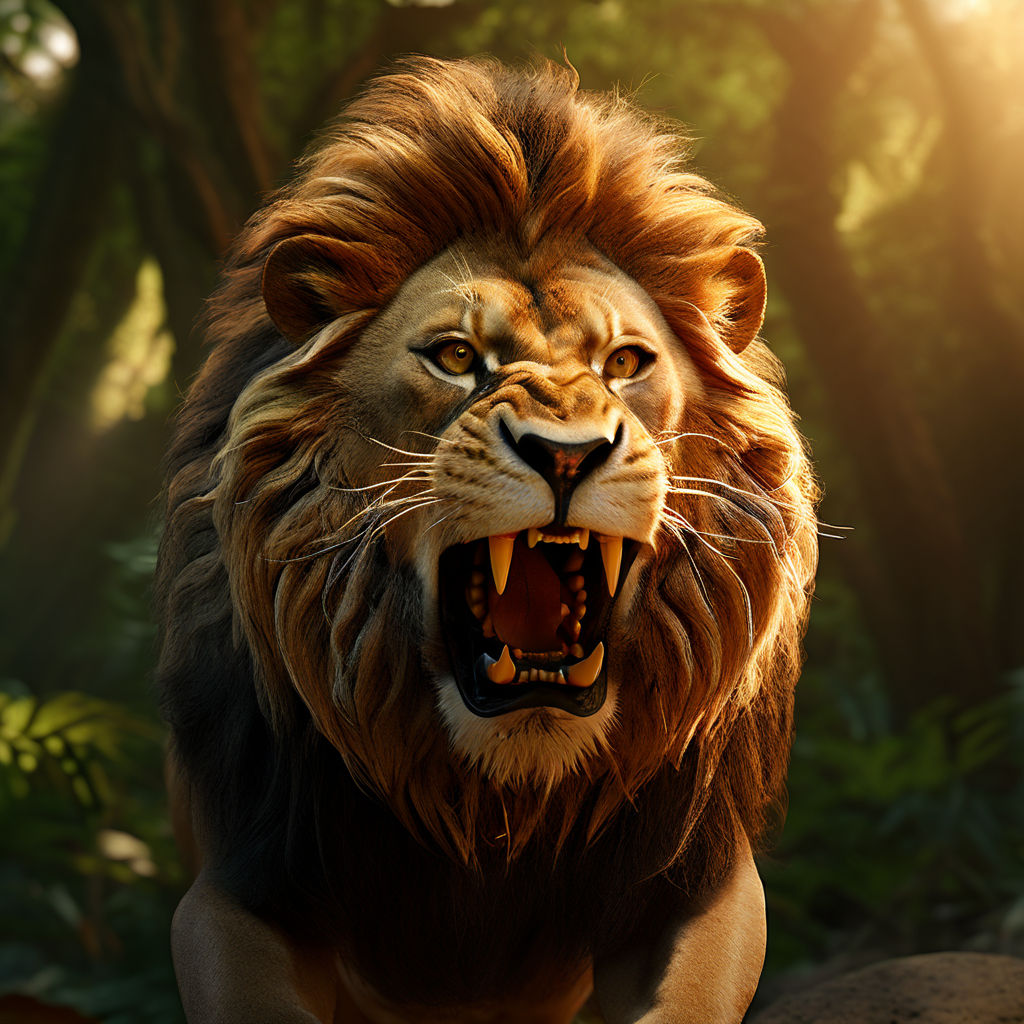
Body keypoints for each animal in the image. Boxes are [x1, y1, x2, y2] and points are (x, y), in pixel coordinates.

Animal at [157, 57, 818, 1024]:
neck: (500, 800)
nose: (567, 454)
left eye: (626, 363)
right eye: (456, 357)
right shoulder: (239, 888)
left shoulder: (703, 884)